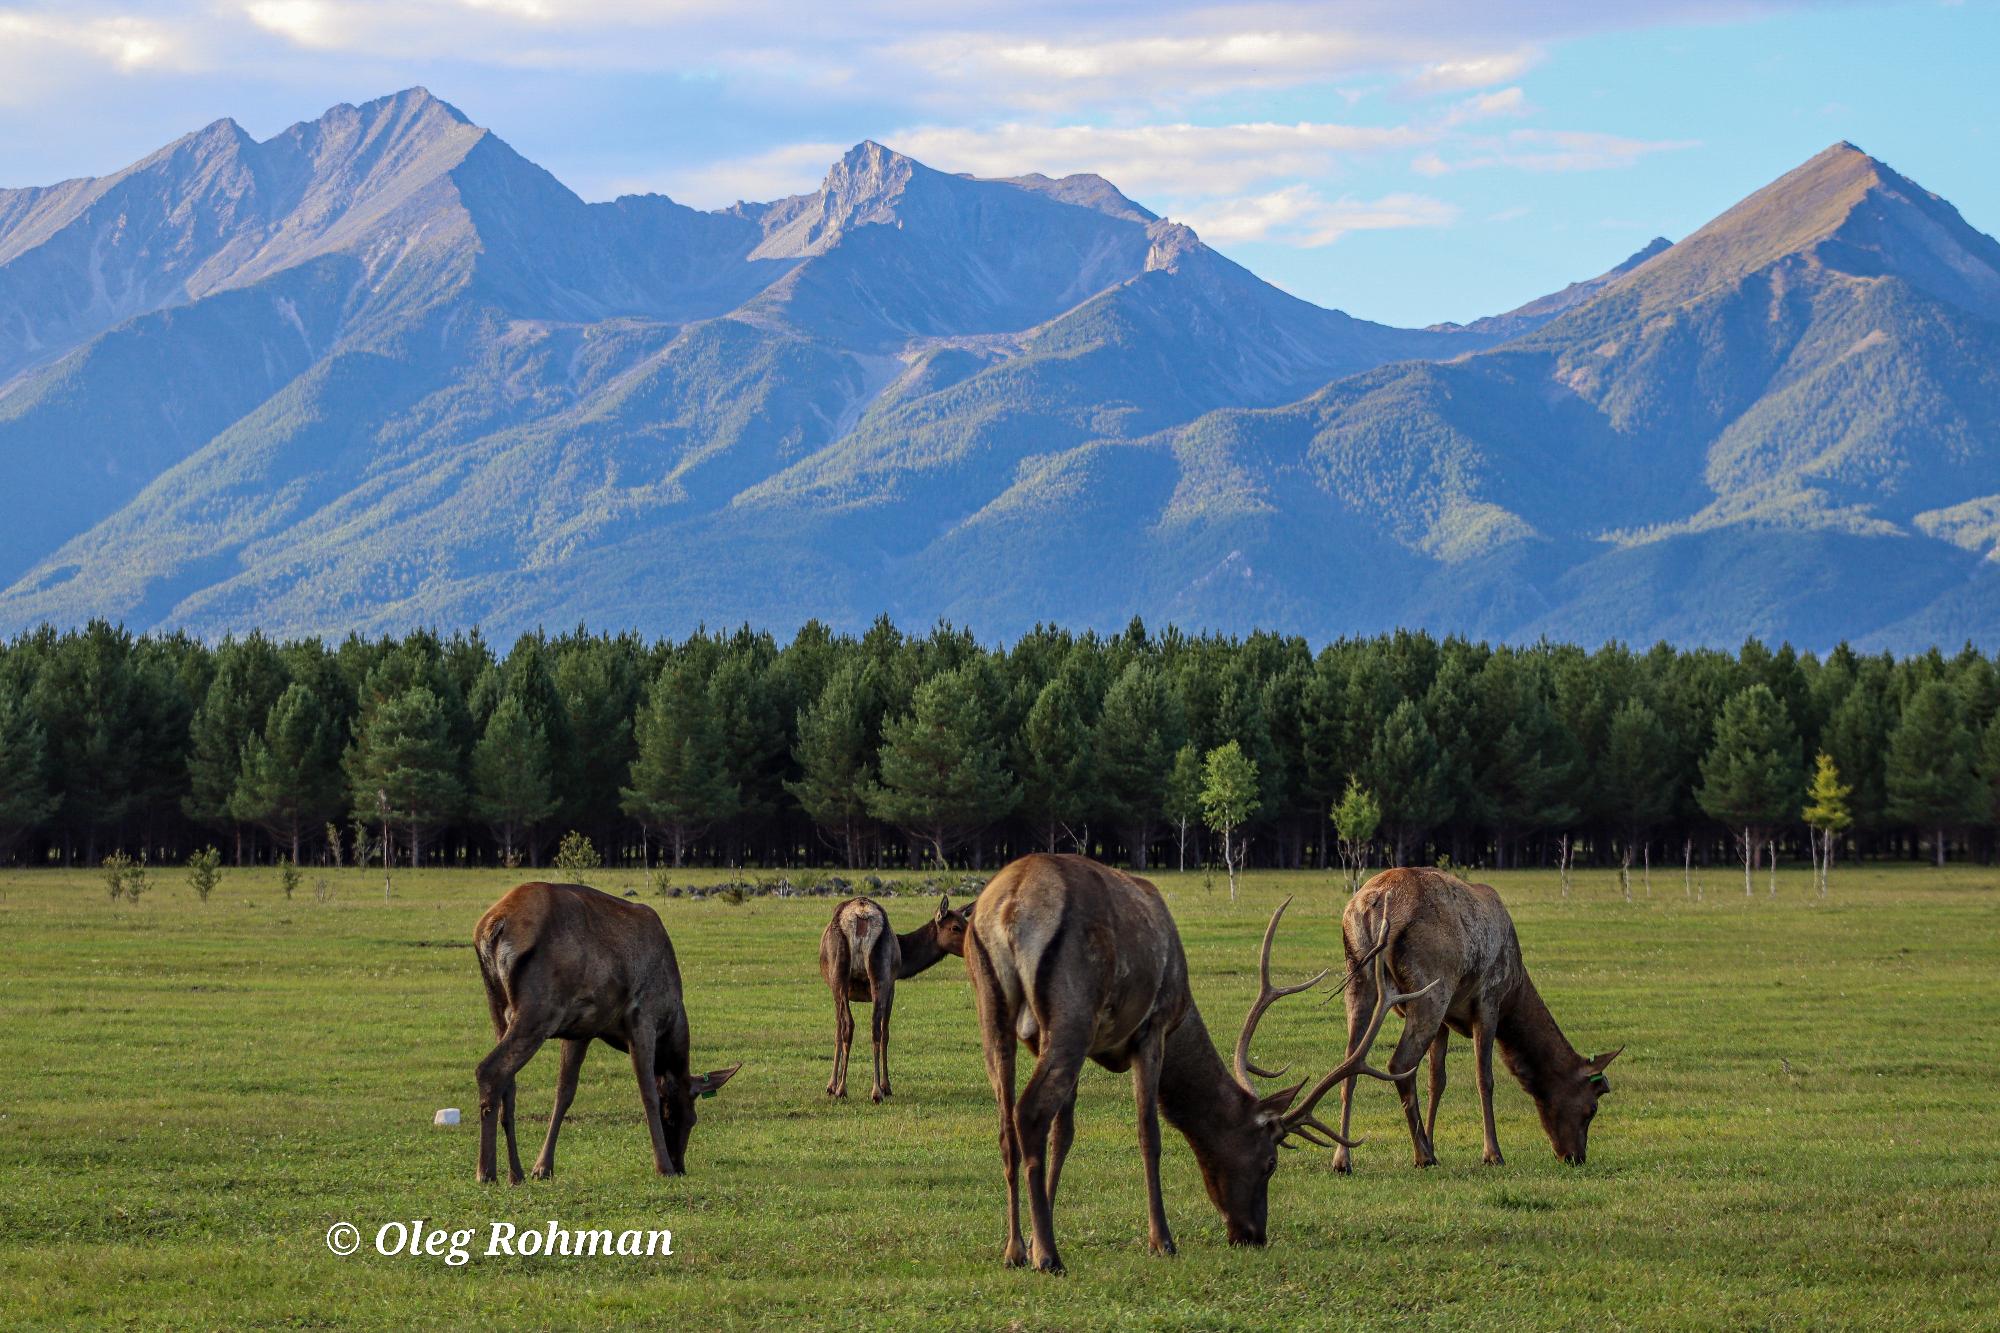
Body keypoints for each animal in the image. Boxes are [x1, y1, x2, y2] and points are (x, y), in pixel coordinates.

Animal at [472, 876, 740, 1176]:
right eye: (690, 1117)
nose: (679, 1165)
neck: (672, 1020)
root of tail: (493, 927)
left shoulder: (581, 1030)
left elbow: (564, 1091)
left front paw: (543, 1167)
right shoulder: (643, 1016)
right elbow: (648, 1092)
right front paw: (662, 1166)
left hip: (499, 1009)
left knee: (509, 1082)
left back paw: (516, 1173)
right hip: (539, 1010)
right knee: (490, 1070)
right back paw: (486, 1172)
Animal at [812, 892, 968, 1096]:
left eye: (966, 921)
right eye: (956, 927)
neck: (903, 967)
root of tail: (862, 915)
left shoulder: (888, 985)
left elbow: (849, 1031)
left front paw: (833, 1085)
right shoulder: (891, 984)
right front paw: (833, 1084)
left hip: (853, 974)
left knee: (858, 1026)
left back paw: (859, 1090)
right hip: (871, 973)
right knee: (863, 1026)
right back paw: (862, 1089)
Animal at [964, 852, 1424, 1264]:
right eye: (1270, 1162)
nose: (1253, 1235)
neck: (1183, 1017)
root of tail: (1009, 907)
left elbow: (1065, 1134)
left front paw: (1041, 1225)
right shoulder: (1152, 1027)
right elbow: (1149, 1132)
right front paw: (1162, 1241)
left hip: (992, 1009)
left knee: (1006, 1124)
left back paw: (1015, 1250)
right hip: (1072, 1010)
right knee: (1029, 1112)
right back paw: (1049, 1257)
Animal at [1328, 860, 1624, 1160]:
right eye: (1592, 1109)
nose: (1575, 1156)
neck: (1514, 994)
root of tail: (1371, 905)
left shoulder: (1445, 1020)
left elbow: (1437, 1080)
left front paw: (1432, 1141)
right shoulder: (1489, 1000)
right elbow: (1485, 1078)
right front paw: (1492, 1153)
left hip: (1359, 976)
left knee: (1350, 1062)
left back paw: (1344, 1158)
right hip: (1431, 988)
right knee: (1400, 1063)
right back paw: (1421, 1156)